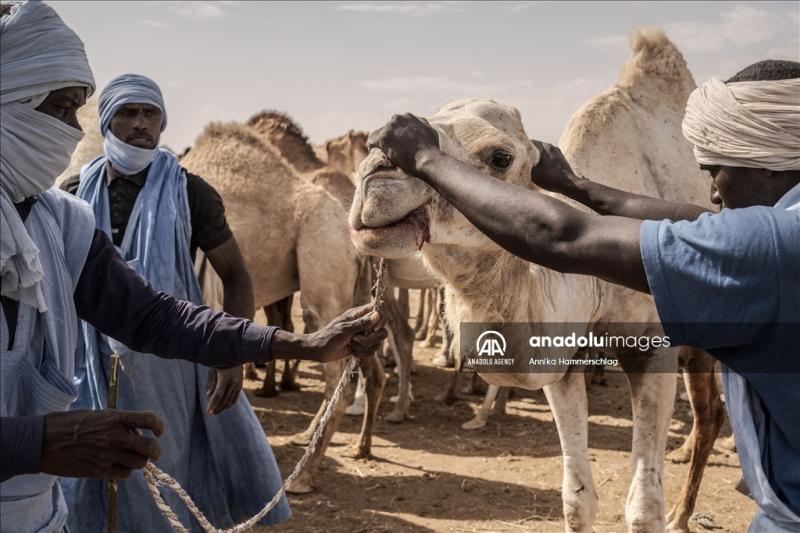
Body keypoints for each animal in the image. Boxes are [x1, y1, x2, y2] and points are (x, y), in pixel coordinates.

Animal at [181, 123, 384, 493]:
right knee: (370, 367)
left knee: (337, 374)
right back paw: (356, 447)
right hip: (360, 292)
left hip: (323, 255)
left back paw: (303, 476)